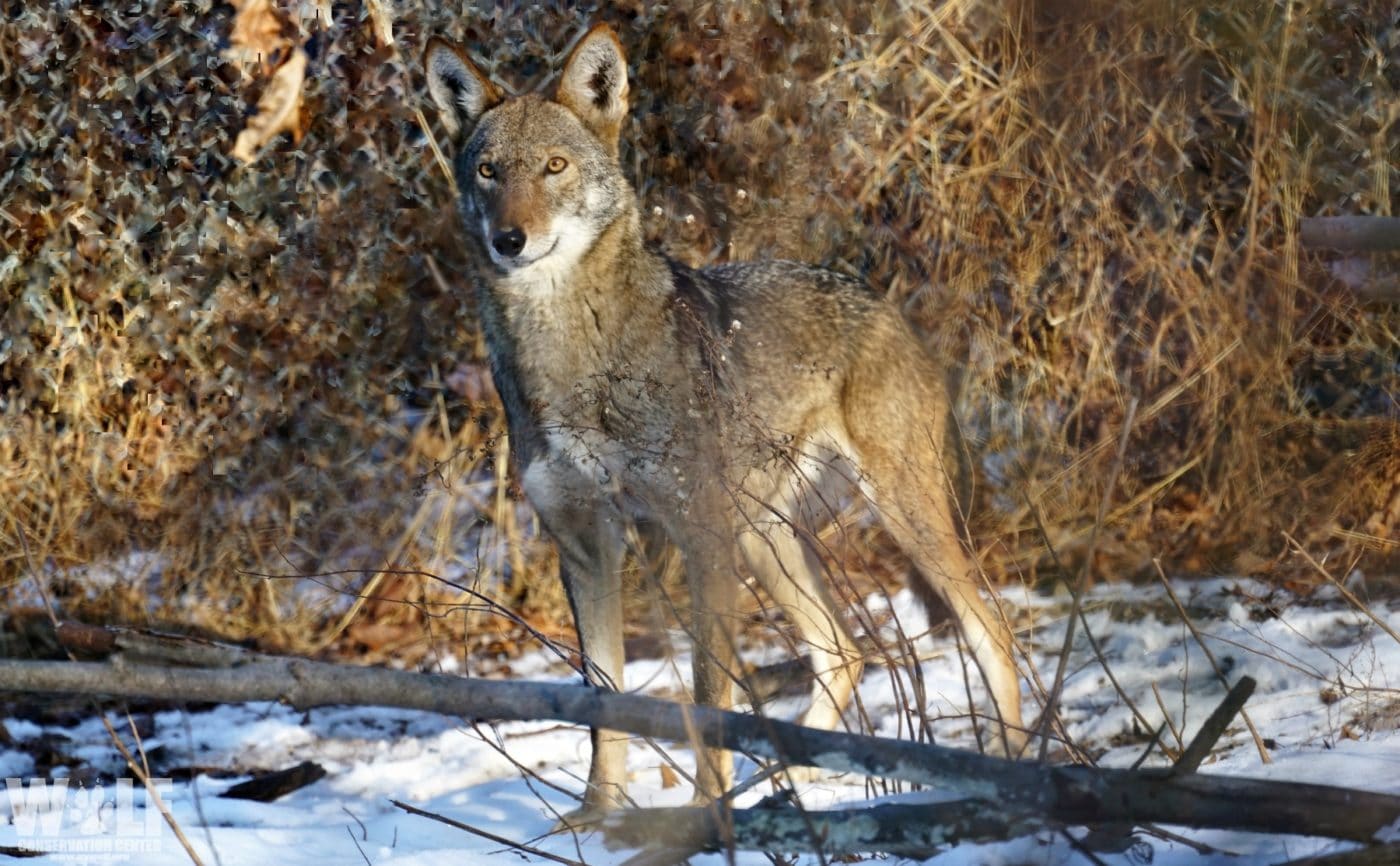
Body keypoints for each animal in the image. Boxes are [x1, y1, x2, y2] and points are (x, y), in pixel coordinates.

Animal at [423, 23, 1025, 824]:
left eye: (553, 166)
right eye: (489, 171)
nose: (509, 240)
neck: (570, 356)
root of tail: (886, 305)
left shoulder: (697, 534)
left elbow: (712, 692)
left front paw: (703, 815)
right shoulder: (583, 542)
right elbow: (602, 701)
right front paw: (598, 816)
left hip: (898, 517)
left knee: (991, 632)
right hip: (767, 537)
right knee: (844, 652)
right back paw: (780, 783)